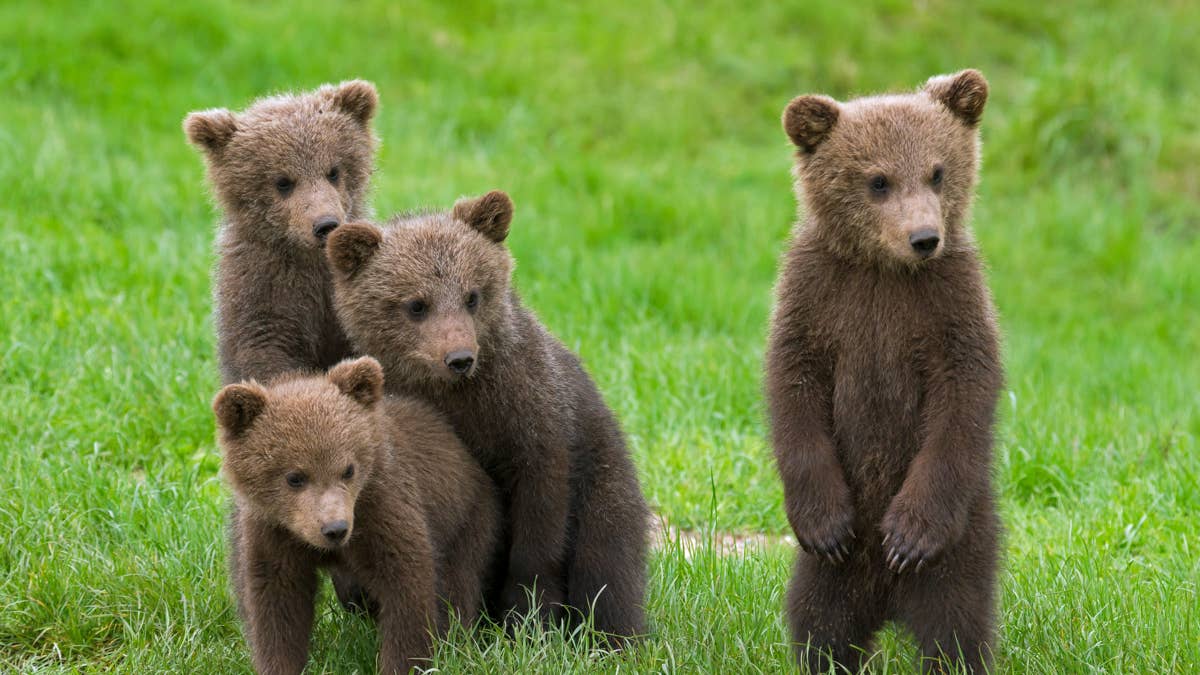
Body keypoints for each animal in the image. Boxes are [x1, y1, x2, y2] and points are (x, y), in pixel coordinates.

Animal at [214, 356, 500, 674]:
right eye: (295, 477)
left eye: (348, 469)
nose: (335, 529)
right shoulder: (273, 532)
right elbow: (278, 603)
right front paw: (280, 663)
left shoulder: (382, 510)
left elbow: (407, 587)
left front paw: (402, 661)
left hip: (467, 518)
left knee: (459, 583)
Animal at [323, 191, 650, 647]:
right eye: (416, 304)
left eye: (472, 295)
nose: (459, 358)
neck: (461, 399)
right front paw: (357, 590)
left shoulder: (532, 421)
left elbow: (539, 527)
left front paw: (528, 618)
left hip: (605, 481)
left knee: (607, 566)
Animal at [765, 69, 1003, 673]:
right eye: (878, 180)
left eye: (937, 171)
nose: (924, 238)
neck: (883, 270)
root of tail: (890, 605)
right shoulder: (820, 297)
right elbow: (793, 385)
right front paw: (825, 524)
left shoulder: (948, 305)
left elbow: (965, 395)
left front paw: (909, 535)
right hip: (830, 576)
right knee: (820, 621)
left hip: (964, 545)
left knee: (956, 626)